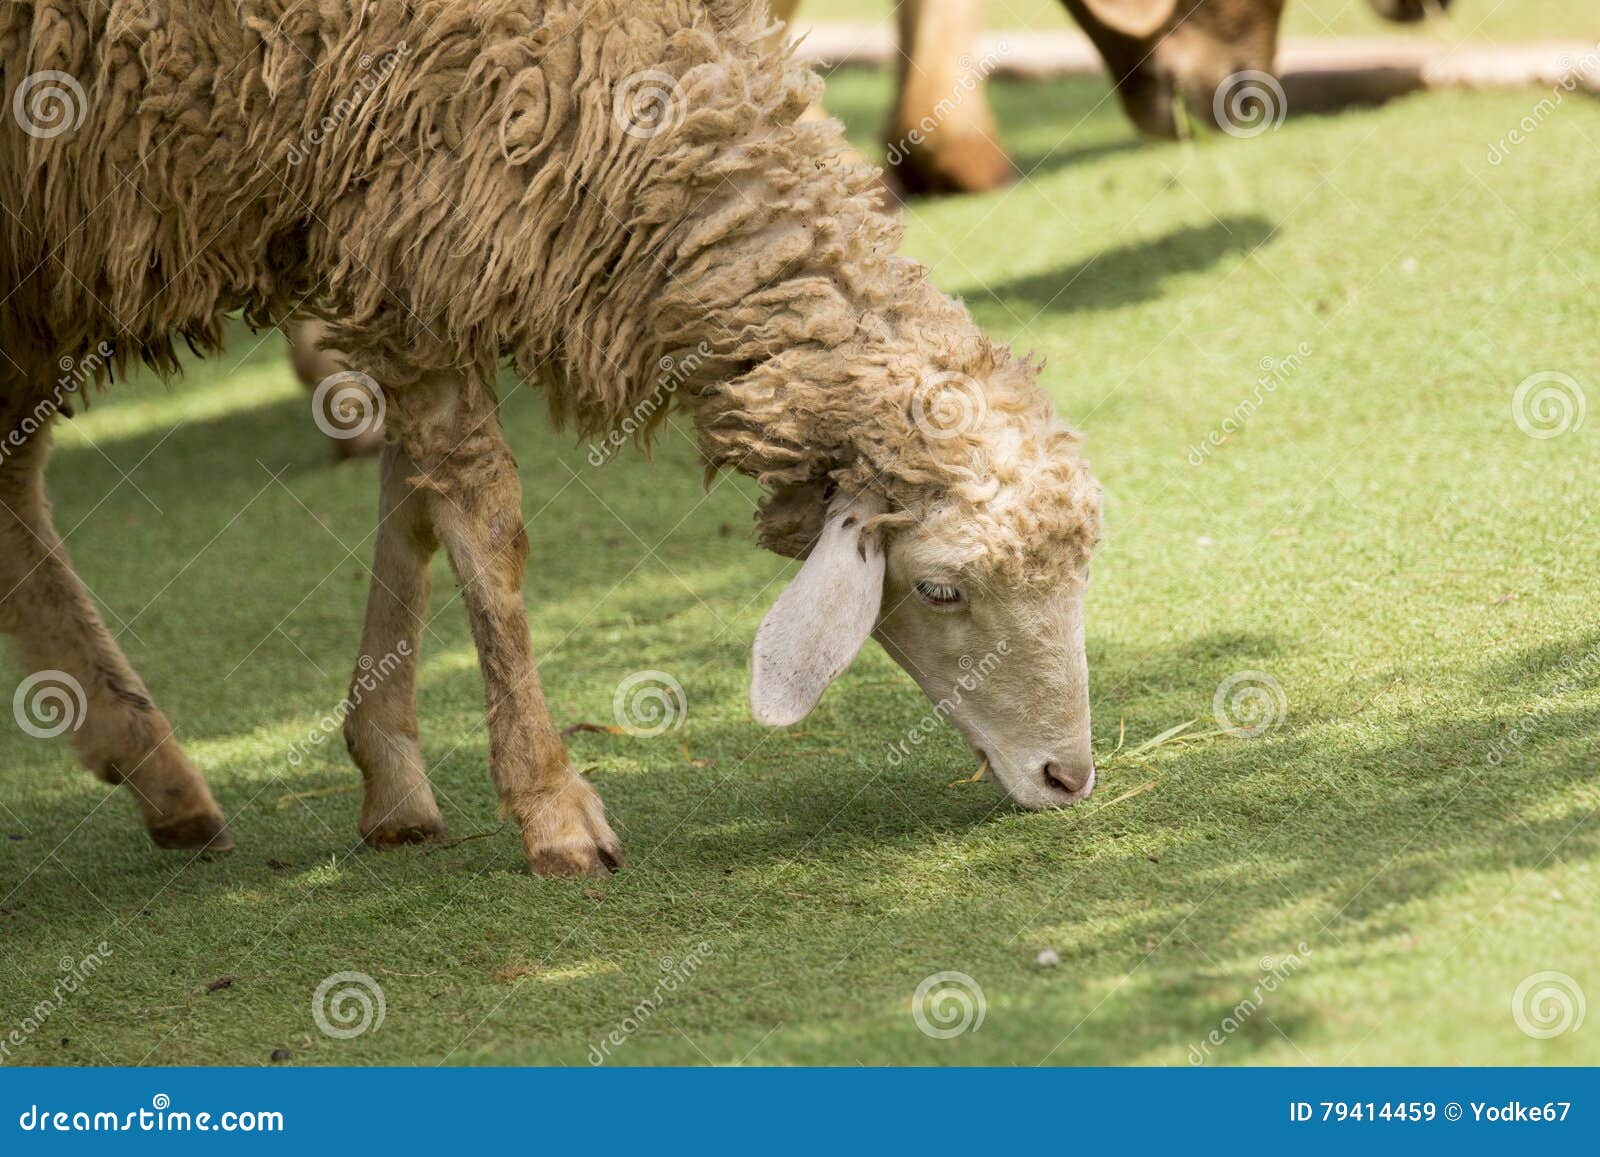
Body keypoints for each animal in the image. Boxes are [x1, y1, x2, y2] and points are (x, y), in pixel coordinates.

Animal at [0, 0, 1102, 876]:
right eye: (941, 589)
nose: (1070, 775)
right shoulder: (416, 216)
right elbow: (485, 526)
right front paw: (552, 807)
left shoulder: (412, 249)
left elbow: (413, 510)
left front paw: (391, 773)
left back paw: (160, 776)